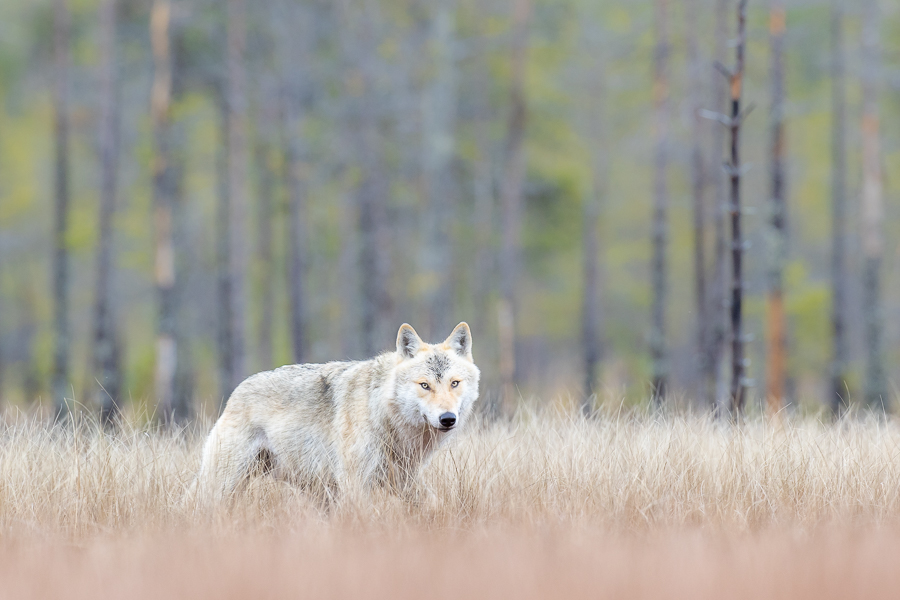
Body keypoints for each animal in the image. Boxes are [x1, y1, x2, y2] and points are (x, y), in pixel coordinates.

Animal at [195, 322, 480, 501]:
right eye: (425, 385)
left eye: (454, 383)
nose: (447, 419)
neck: (384, 415)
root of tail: (237, 391)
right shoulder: (355, 484)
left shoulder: (405, 480)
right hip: (224, 483)